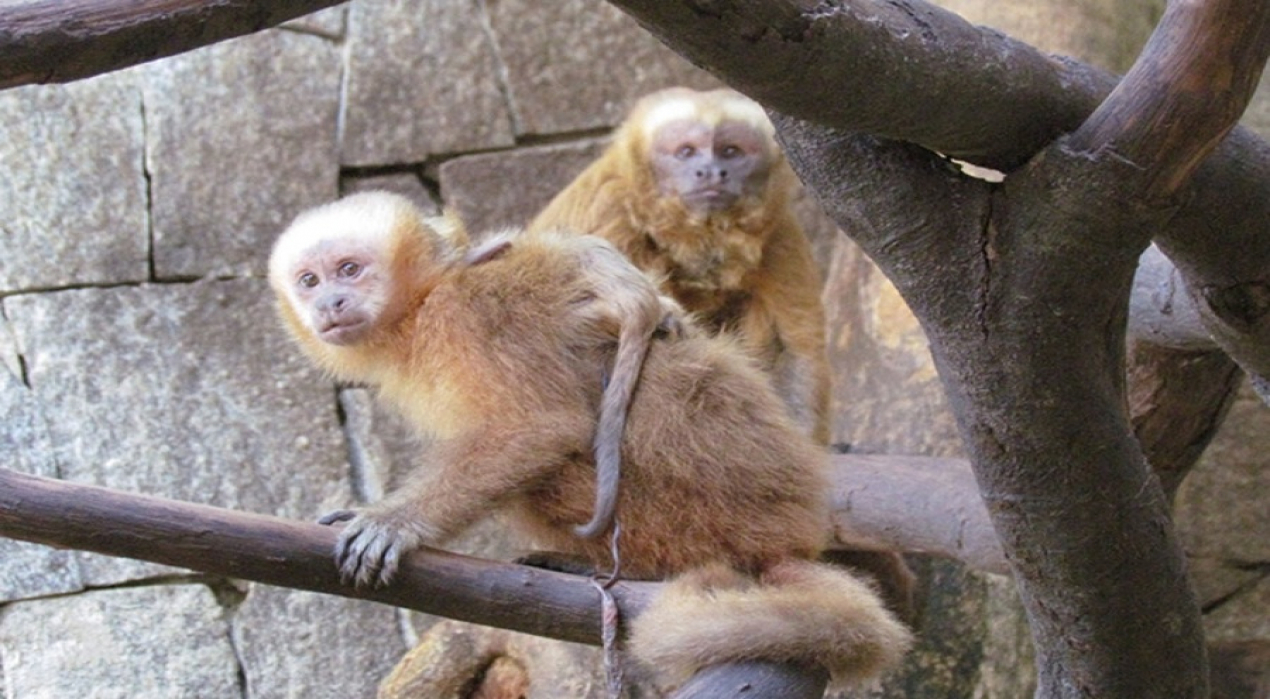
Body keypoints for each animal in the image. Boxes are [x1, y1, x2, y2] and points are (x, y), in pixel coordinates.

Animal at [269, 191, 911, 692]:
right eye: (310, 280)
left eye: (349, 269)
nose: (329, 303)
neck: (425, 304)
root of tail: (792, 534)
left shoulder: (472, 317)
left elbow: (541, 426)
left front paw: (394, 521)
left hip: (699, 521)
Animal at [529, 86, 831, 445]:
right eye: (687, 152)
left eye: (731, 151)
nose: (711, 171)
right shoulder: (606, 213)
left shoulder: (780, 238)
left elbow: (792, 354)